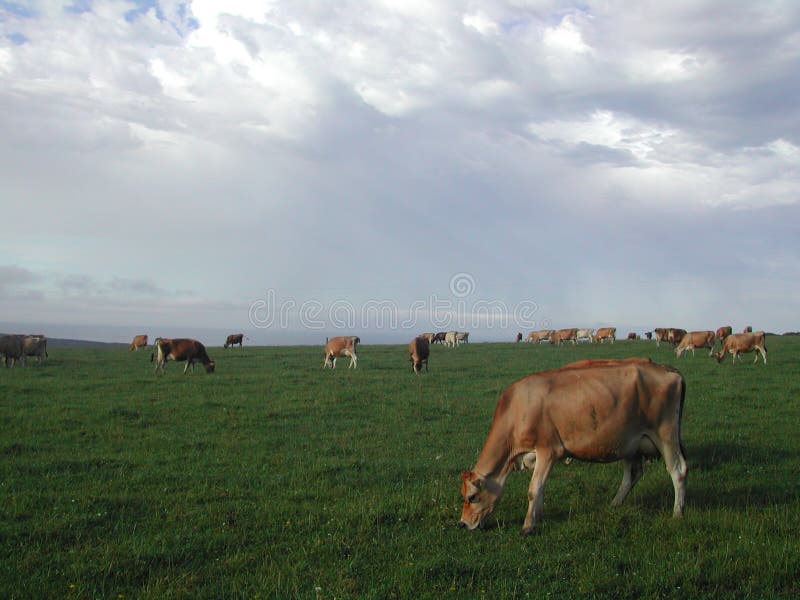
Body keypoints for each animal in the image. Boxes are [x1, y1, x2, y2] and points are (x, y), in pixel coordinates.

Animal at [458, 358, 687, 534]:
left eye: (472, 497)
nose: (462, 524)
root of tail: (669, 370)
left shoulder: (548, 450)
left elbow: (534, 488)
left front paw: (527, 526)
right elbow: (541, 488)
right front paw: (538, 516)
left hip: (666, 434)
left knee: (678, 470)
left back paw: (677, 513)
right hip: (631, 443)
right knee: (633, 473)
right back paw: (615, 503)